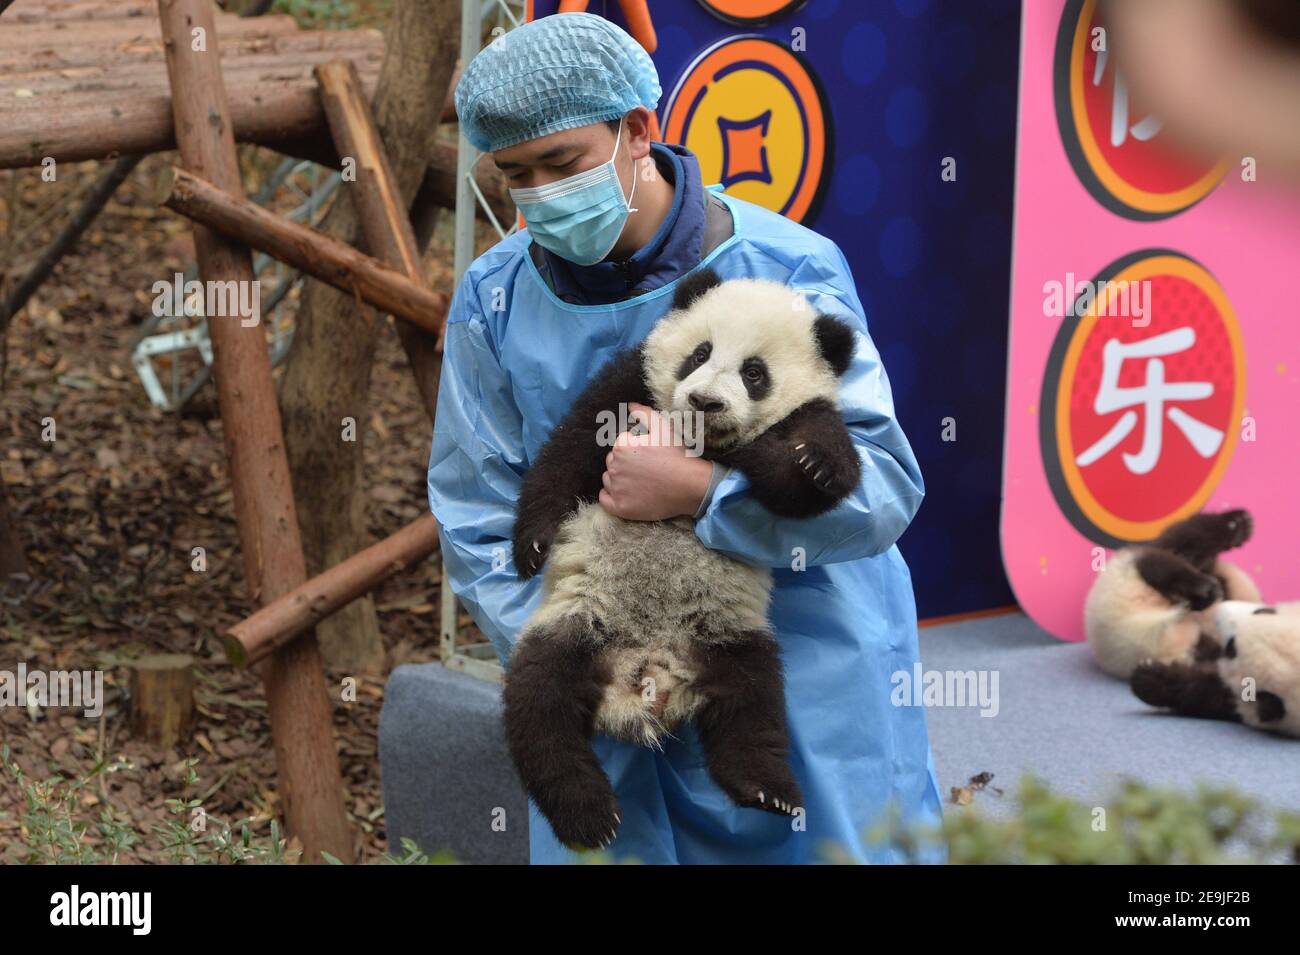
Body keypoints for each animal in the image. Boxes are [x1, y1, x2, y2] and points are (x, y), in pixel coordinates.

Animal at [502, 268, 861, 851]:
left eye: (754, 373)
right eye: (700, 353)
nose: (705, 401)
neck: (699, 442)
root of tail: (645, 679)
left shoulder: (800, 420)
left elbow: (804, 471)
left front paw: (815, 462)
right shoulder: (633, 383)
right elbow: (570, 448)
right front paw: (532, 544)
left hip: (732, 639)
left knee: (753, 711)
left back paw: (769, 790)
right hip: (573, 623)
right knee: (540, 707)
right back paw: (588, 813)